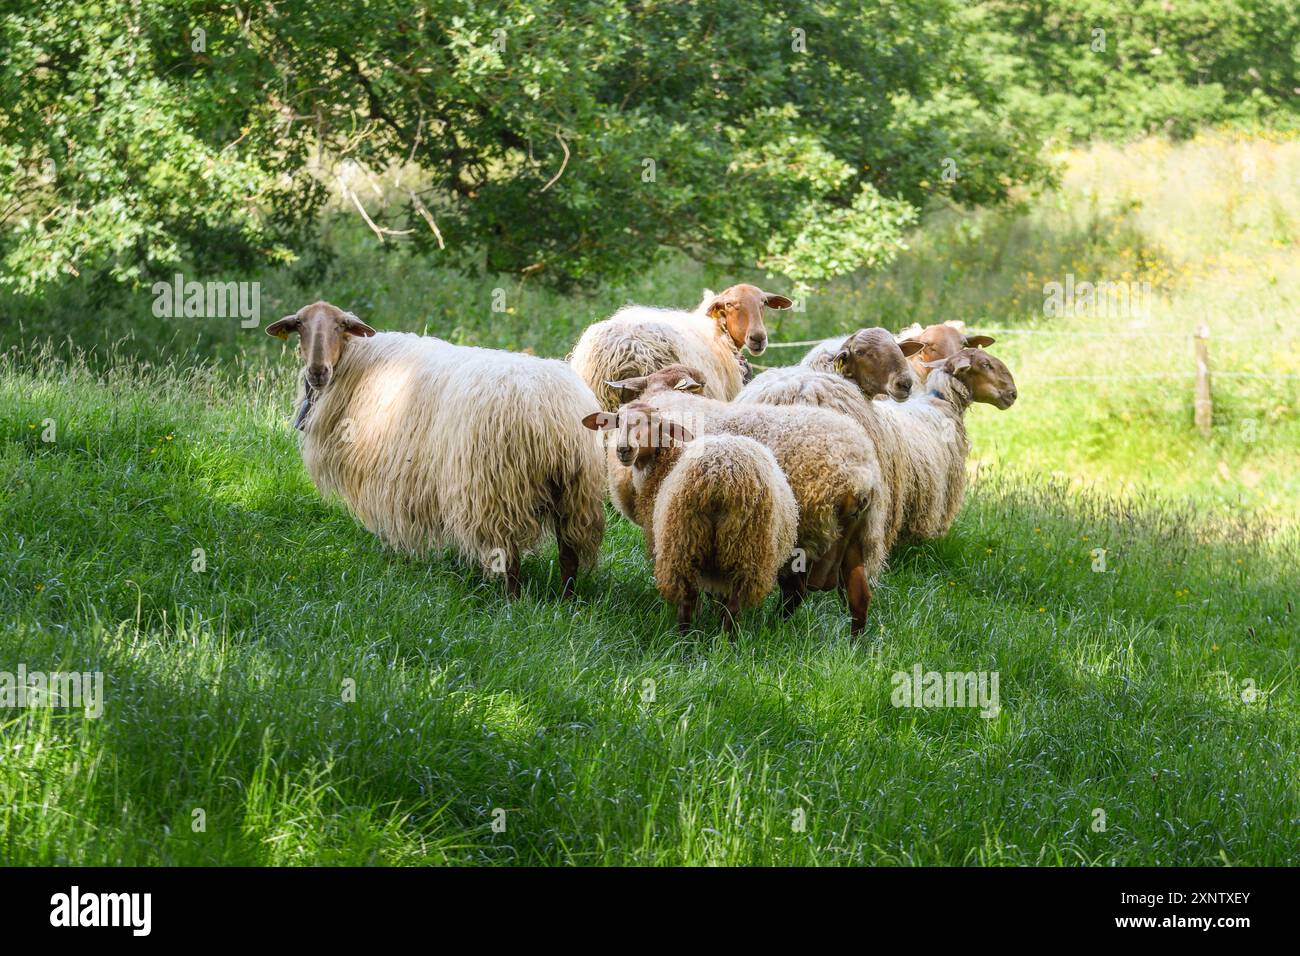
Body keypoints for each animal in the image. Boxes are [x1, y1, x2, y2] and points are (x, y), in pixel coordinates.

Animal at [267, 300, 606, 597]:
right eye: (300, 325)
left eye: (340, 325)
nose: (317, 371)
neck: (358, 363)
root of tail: (550, 411)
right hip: (575, 493)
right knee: (569, 555)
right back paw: (566, 602)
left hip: (497, 491)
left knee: (509, 557)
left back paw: (512, 602)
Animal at [582, 411, 797, 633]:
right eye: (617, 420)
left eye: (654, 423)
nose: (624, 449)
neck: (663, 466)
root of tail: (721, 475)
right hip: (731, 547)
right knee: (725, 604)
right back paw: (713, 638)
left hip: (689, 540)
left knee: (693, 601)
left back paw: (694, 638)